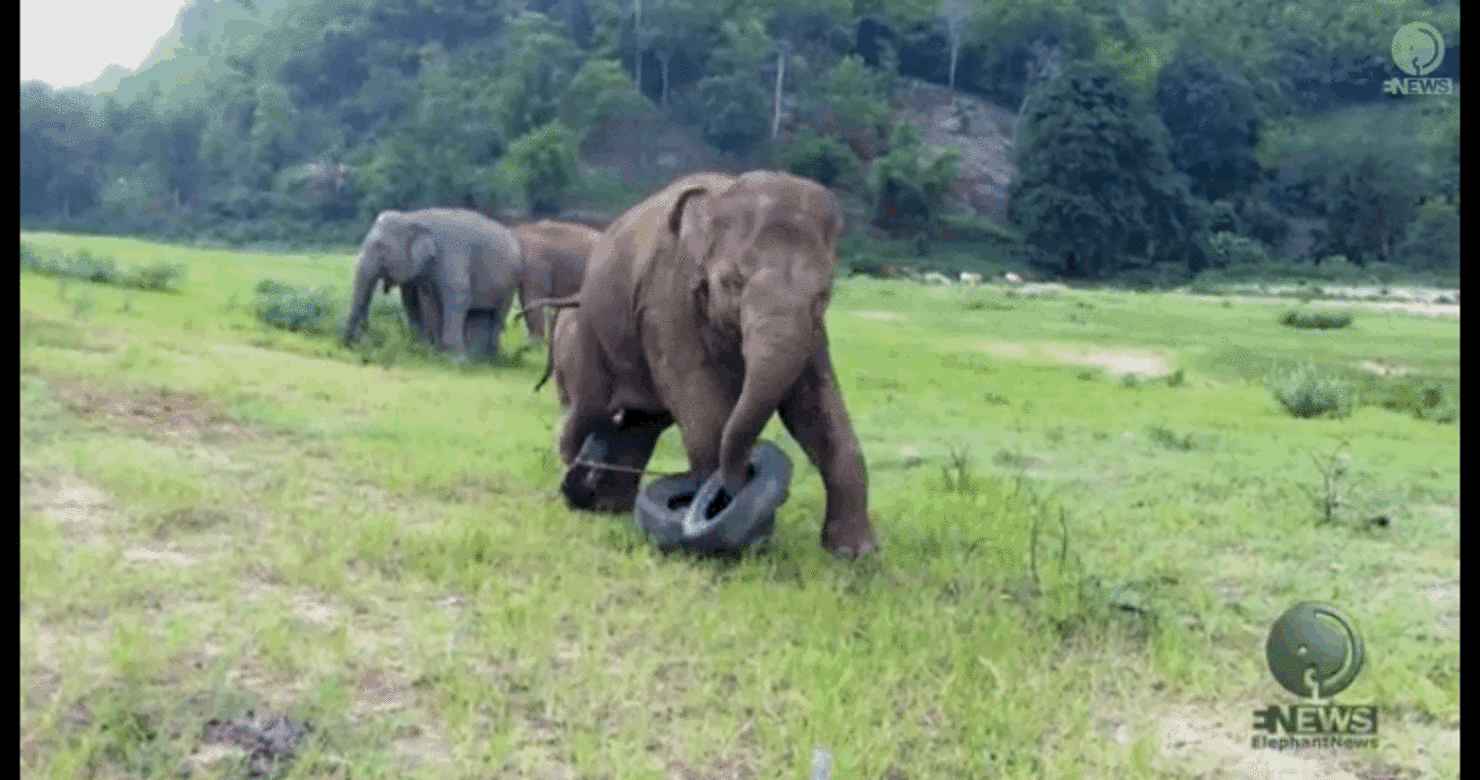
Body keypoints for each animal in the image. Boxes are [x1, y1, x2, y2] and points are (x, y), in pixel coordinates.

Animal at [341, 208, 525, 361]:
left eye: (382, 247)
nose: (357, 342)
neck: (413, 217)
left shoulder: (452, 254)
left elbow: (458, 298)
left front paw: (453, 359)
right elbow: (431, 302)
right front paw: (432, 352)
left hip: (510, 284)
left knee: (497, 316)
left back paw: (488, 358)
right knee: (477, 315)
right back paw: (477, 356)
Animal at [543, 171, 878, 558]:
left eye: (824, 293)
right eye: (733, 282)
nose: (776, 493)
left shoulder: (813, 330)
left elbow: (814, 405)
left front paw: (854, 553)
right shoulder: (665, 300)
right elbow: (701, 402)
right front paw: (744, 540)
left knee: (639, 425)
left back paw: (611, 506)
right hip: (591, 329)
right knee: (593, 408)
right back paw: (574, 488)